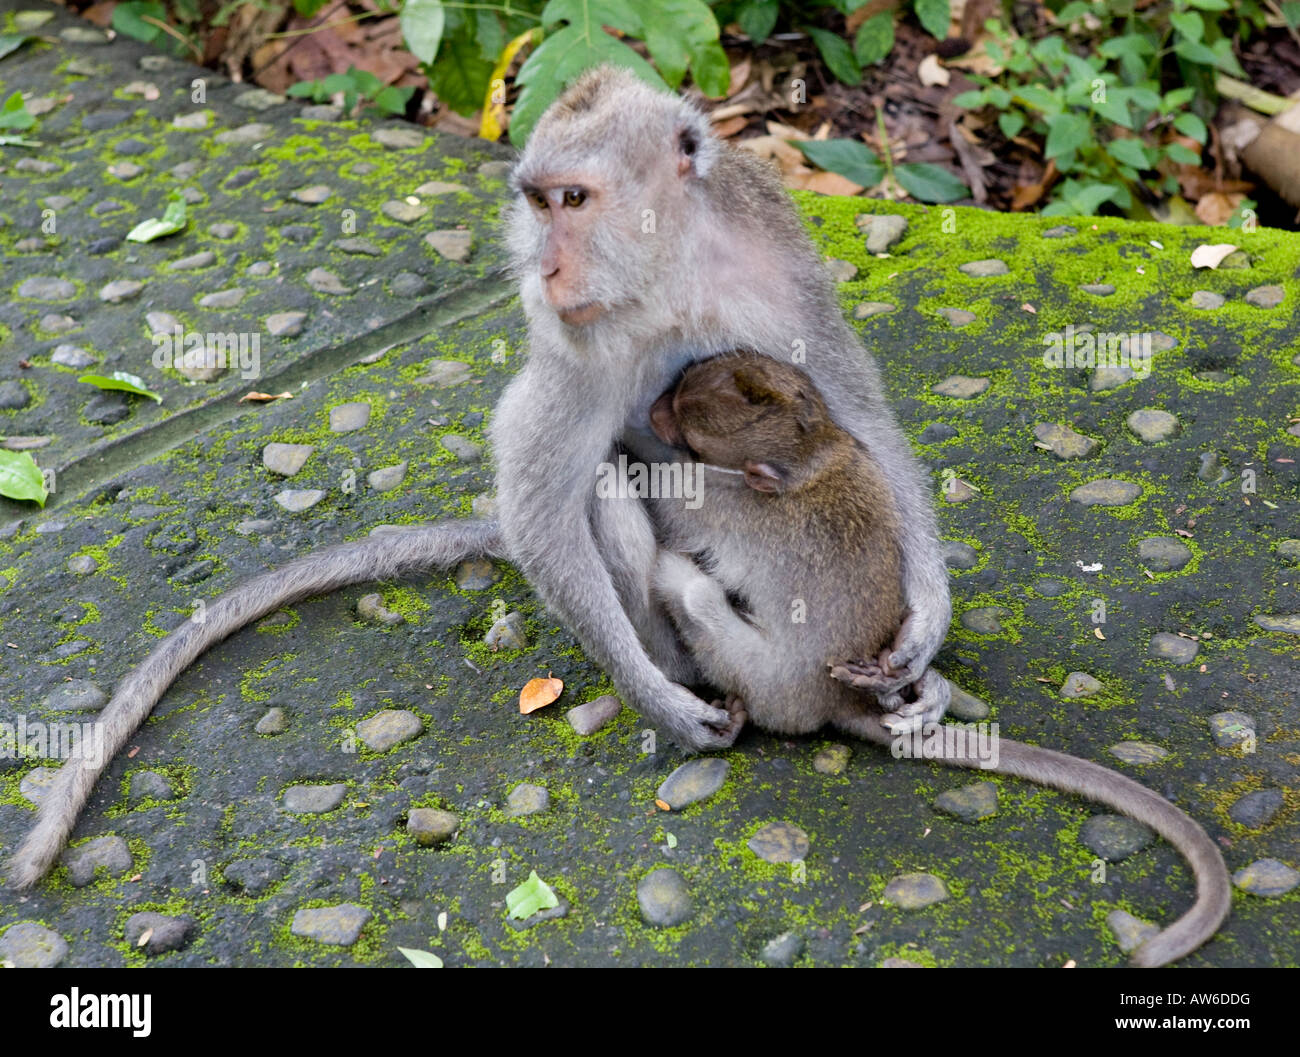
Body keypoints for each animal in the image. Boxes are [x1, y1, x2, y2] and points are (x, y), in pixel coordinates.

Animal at [9, 64, 952, 886]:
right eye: (539, 203)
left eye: (575, 199)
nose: (546, 264)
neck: (665, 268)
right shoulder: (571, 333)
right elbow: (543, 501)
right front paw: (658, 702)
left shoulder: (773, 248)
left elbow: (855, 411)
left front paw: (924, 617)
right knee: (600, 490)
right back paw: (676, 669)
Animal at [644, 352, 1231, 968]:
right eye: (684, 386)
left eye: (686, 417)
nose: (655, 410)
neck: (813, 454)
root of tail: (836, 699)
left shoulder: (719, 499)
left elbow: (672, 500)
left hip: (765, 679)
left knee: (693, 593)